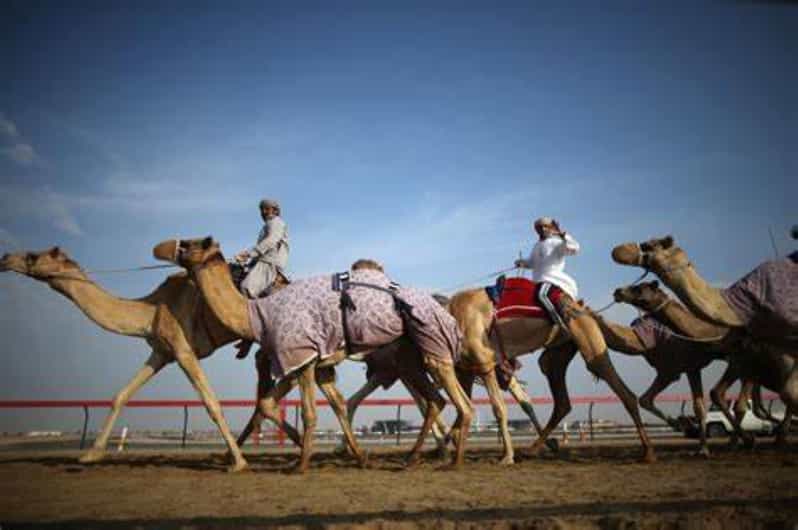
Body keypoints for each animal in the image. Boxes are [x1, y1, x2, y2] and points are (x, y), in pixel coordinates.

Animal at [152, 237, 474, 471]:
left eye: (191, 244)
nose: (162, 249)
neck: (258, 314)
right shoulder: (318, 365)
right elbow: (331, 404)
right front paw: (358, 457)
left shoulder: (298, 358)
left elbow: (301, 411)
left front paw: (300, 463)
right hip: (410, 360)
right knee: (436, 401)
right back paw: (417, 457)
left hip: (423, 354)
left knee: (453, 402)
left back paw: (451, 460)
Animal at [446, 284, 657, 463]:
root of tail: (586, 309)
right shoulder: (465, 369)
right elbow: (463, 408)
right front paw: (450, 446)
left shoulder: (484, 363)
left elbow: (496, 408)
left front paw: (507, 457)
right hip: (559, 351)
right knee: (559, 396)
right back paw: (534, 449)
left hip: (586, 337)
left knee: (621, 389)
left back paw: (648, 452)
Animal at [613, 280, 795, 446]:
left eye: (638, 288)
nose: (617, 291)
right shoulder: (693, 366)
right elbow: (706, 402)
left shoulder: (739, 359)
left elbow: (731, 401)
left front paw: (746, 439)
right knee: (765, 401)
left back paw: (778, 434)